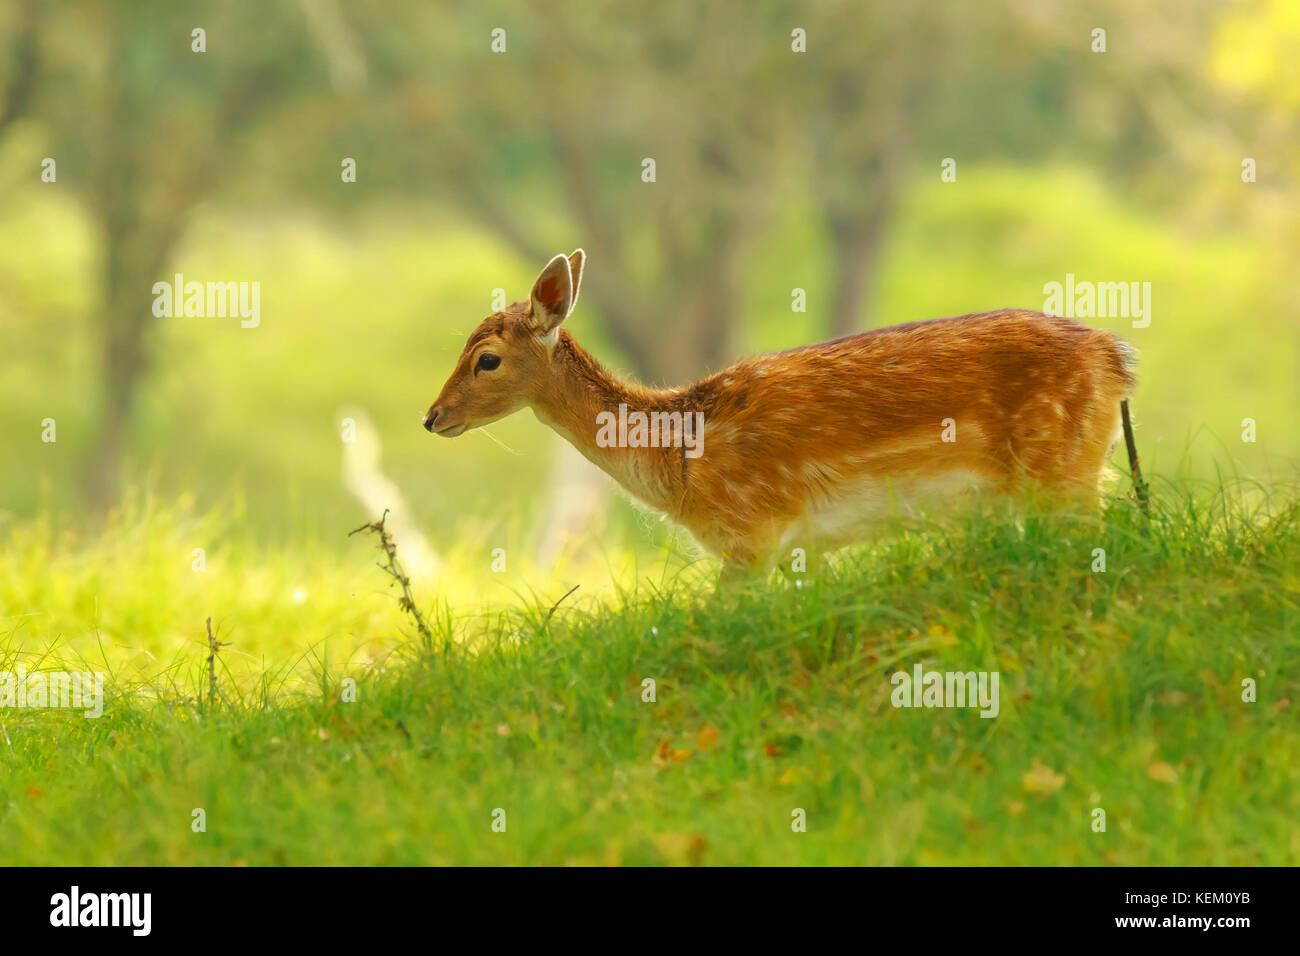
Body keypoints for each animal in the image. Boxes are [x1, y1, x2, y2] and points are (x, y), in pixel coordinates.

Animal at [423, 250, 1148, 580]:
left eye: (486, 359)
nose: (432, 418)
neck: (679, 458)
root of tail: (1117, 359)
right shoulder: (806, 544)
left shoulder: (752, 532)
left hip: (1062, 470)